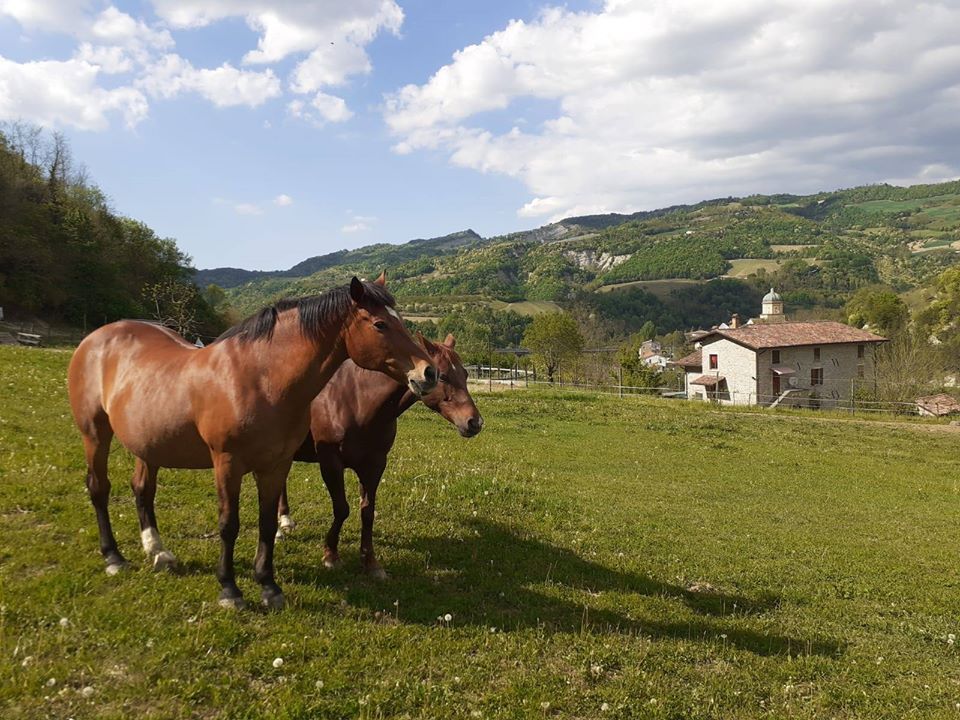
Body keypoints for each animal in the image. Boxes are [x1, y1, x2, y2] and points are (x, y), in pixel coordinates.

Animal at [67, 274, 436, 610]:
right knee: (98, 488)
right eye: (380, 324)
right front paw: (230, 590)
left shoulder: (275, 465)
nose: (428, 373)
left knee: (142, 490)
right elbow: (229, 525)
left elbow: (267, 522)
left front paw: (269, 586)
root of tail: (95, 339)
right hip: (95, 434)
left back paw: (158, 552)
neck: (260, 379)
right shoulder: (227, 463)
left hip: (149, 444)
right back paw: (114, 557)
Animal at [282, 332, 482, 579]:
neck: (355, 400)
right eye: (442, 376)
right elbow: (341, 509)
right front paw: (331, 555)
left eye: (465, 374)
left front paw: (371, 563)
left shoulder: (375, 465)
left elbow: (367, 512)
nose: (474, 422)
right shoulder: (331, 463)